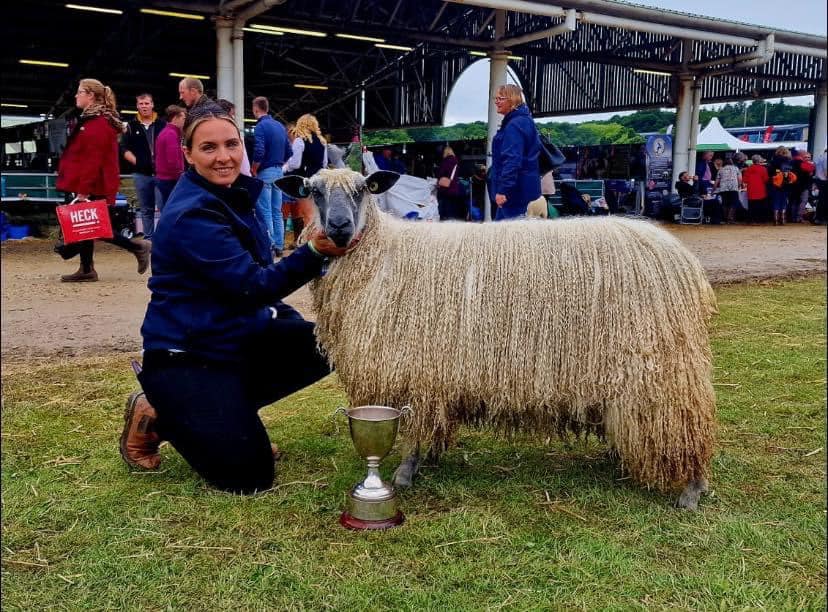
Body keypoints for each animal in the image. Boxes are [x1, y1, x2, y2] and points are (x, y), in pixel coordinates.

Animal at [276, 169, 718, 510]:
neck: (380, 254)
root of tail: (679, 258)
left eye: (363, 189)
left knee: (685, 422)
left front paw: (405, 473)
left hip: (660, 367)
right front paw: (425, 460)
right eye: (314, 191)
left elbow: (414, 432)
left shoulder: (418, 370)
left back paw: (692, 490)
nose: (338, 227)